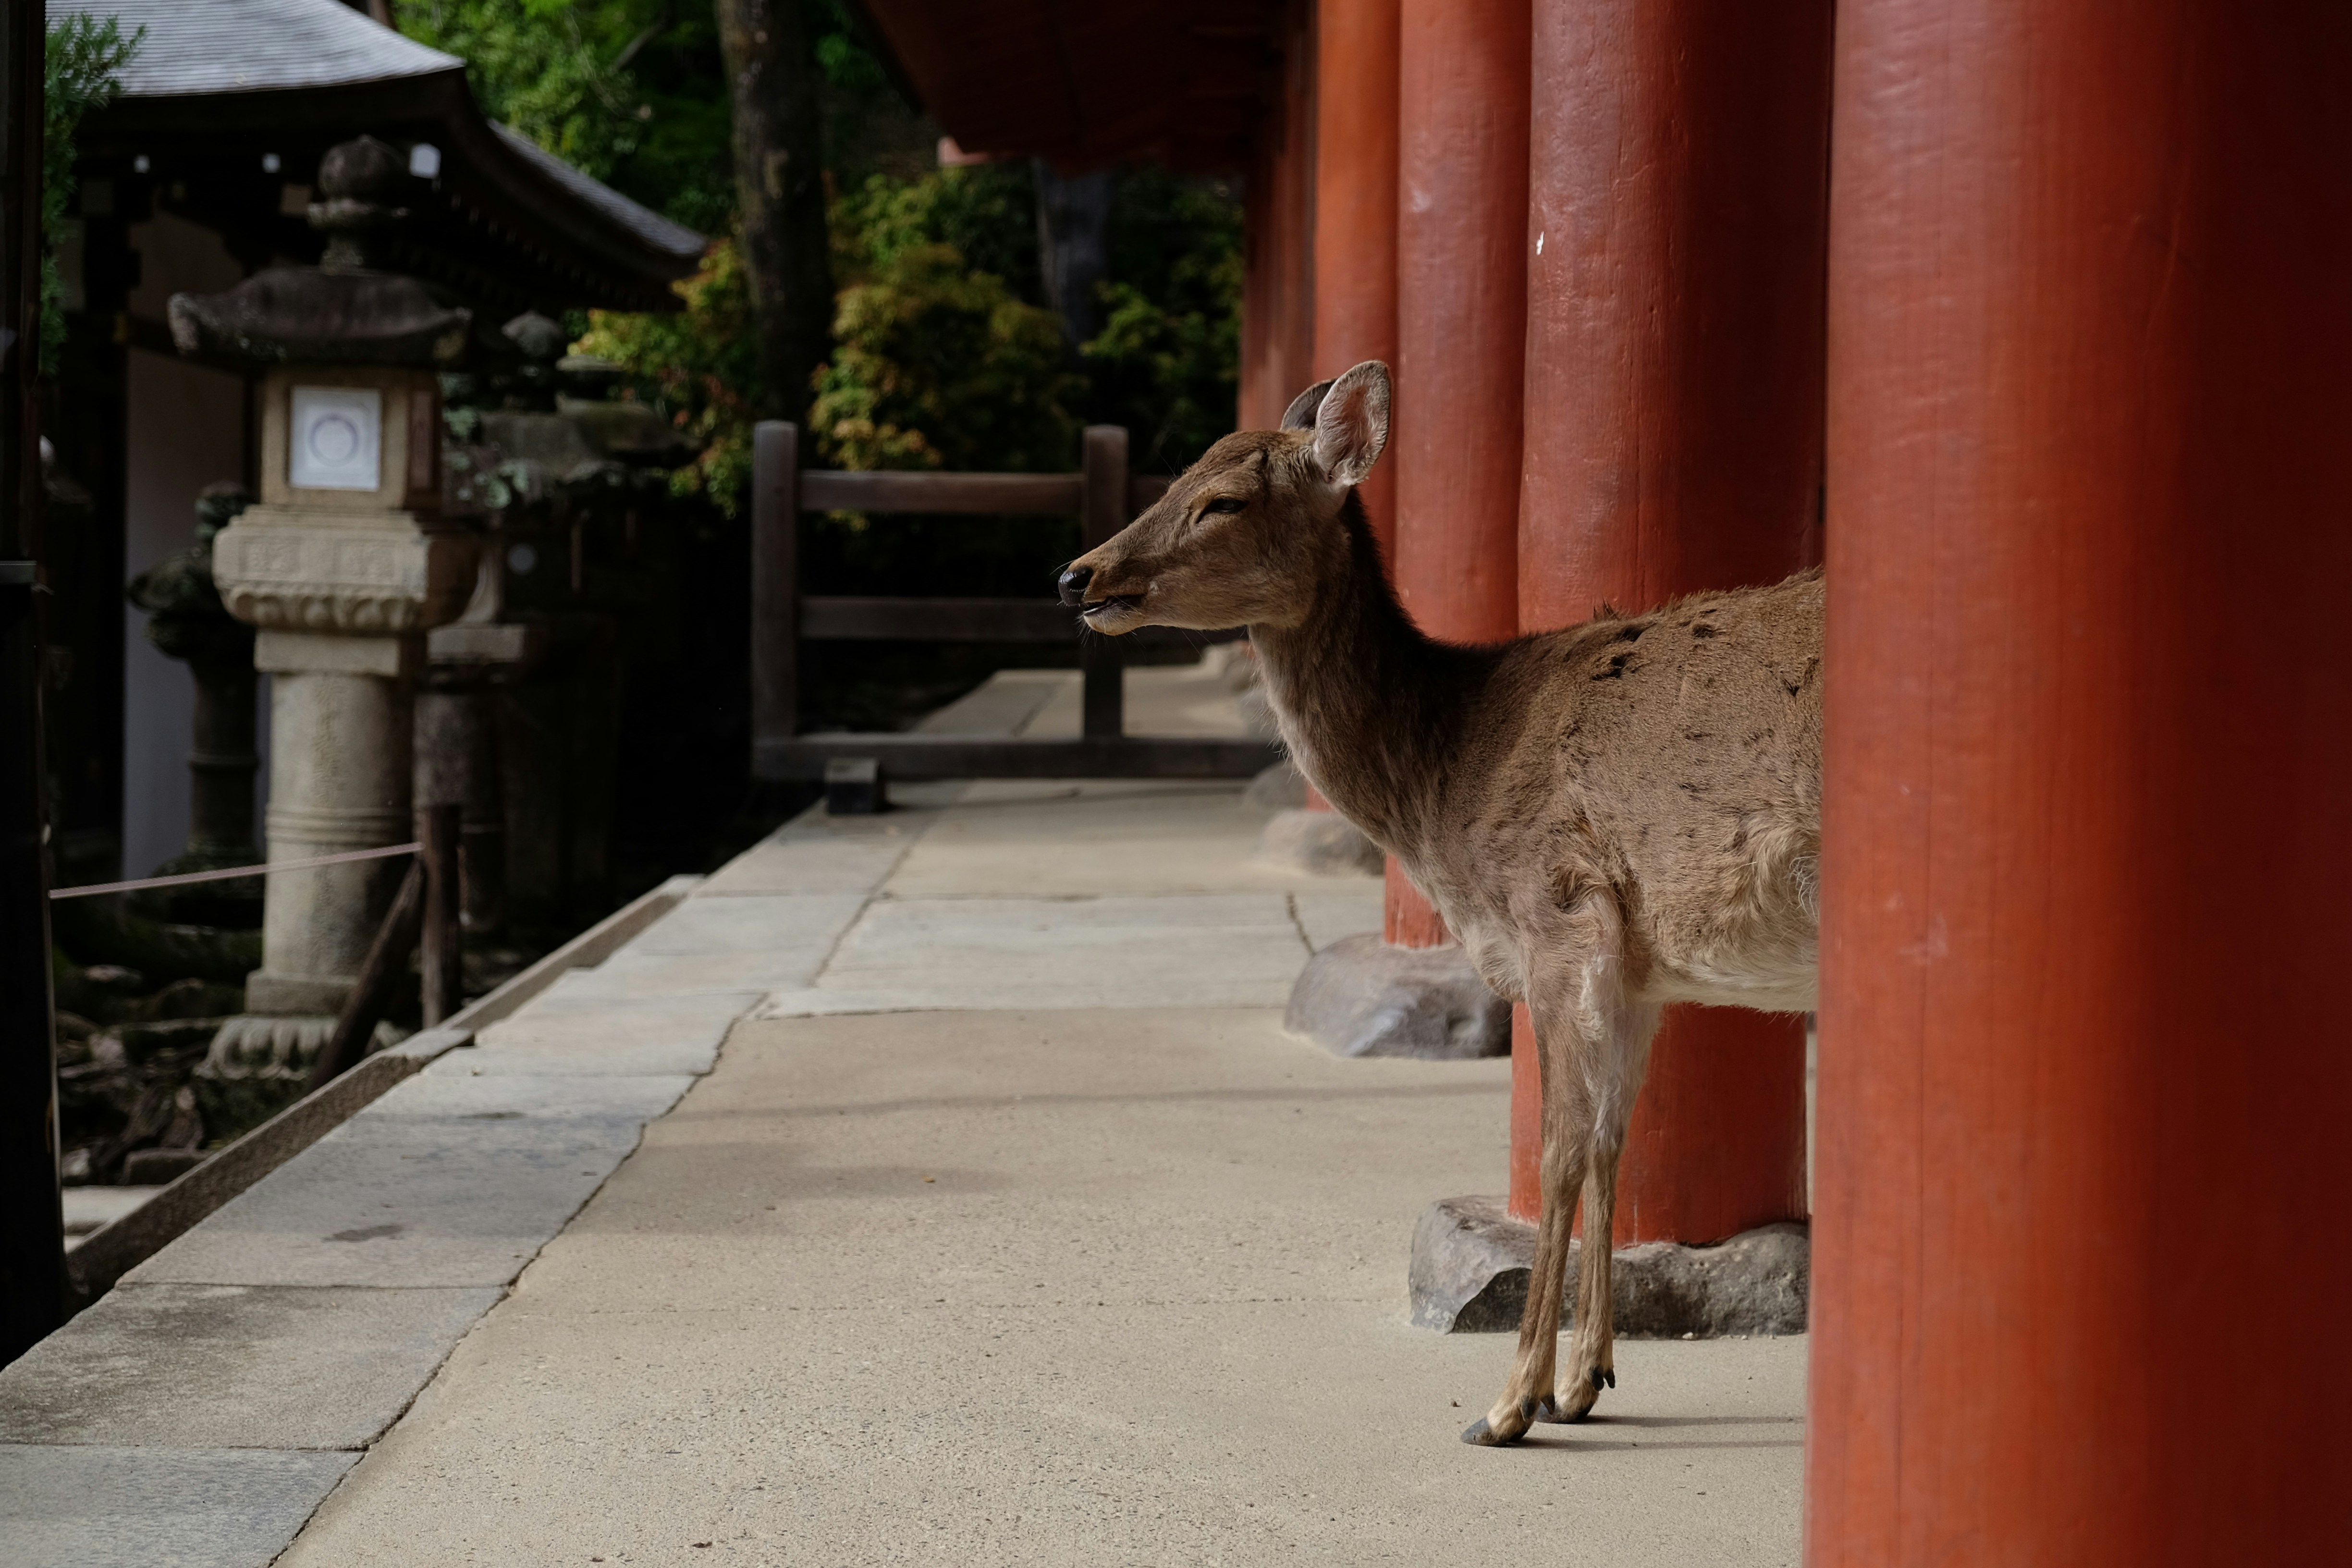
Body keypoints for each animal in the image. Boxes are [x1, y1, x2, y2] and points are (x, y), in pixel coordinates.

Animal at [1057, 360, 1821, 1447]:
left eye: (1223, 500)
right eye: (1174, 479)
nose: (1076, 578)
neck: (1446, 778)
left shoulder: (1561, 918)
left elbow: (1557, 1149)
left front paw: (1509, 1405)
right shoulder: (1640, 972)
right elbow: (1611, 1144)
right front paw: (1586, 1382)